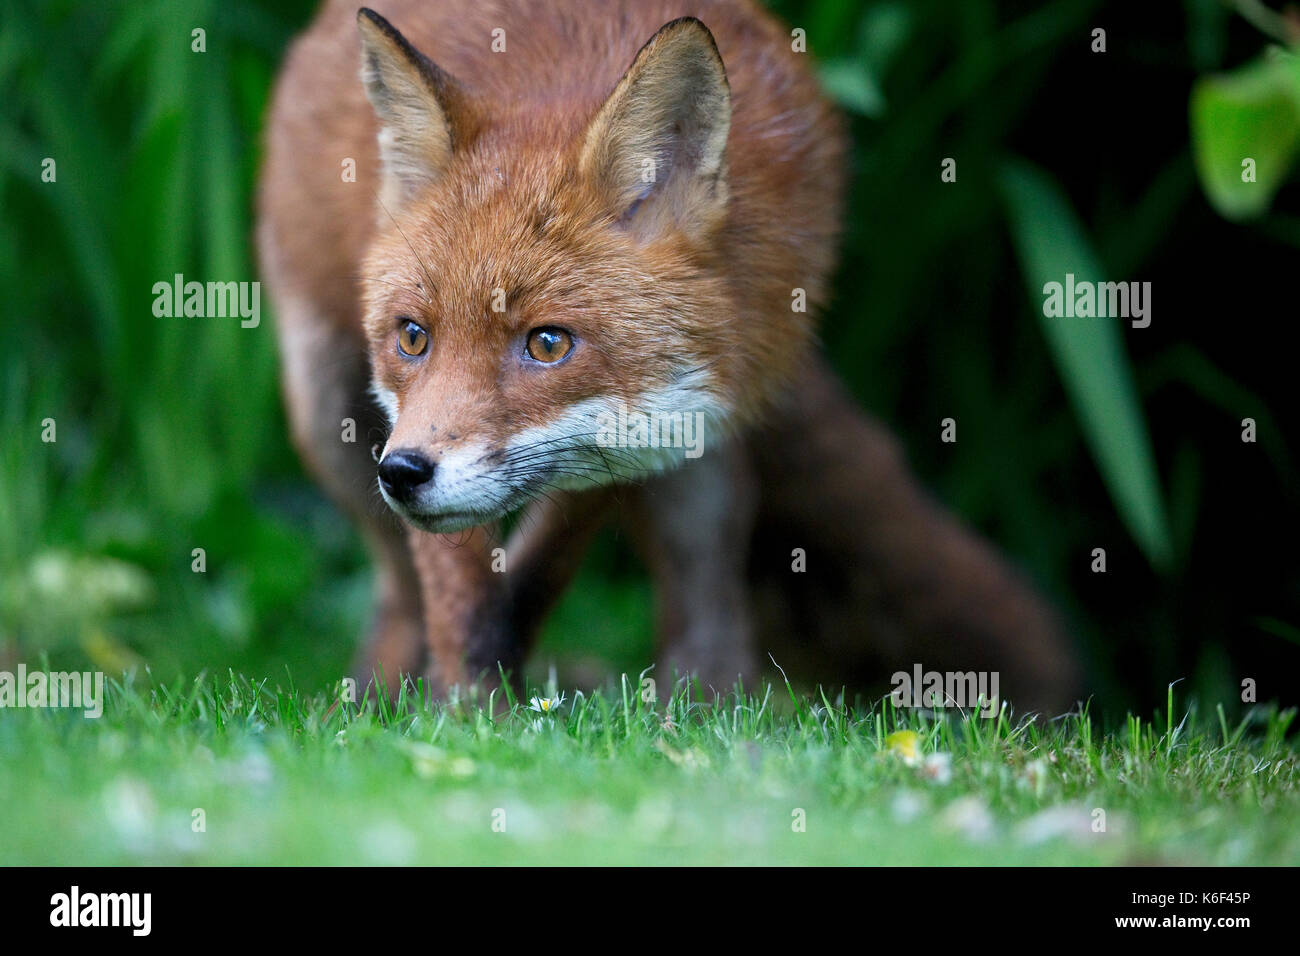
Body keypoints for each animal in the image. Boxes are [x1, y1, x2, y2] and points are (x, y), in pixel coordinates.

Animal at [257, 0, 1082, 712]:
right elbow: (461, 590)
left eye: (547, 344)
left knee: (709, 577)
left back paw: (700, 722)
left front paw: (490, 699)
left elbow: (542, 567)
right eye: (412, 336)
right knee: (399, 587)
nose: (404, 473)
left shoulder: (640, 435)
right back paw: (376, 701)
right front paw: (470, 710)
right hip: (325, 407)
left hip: (705, 457)